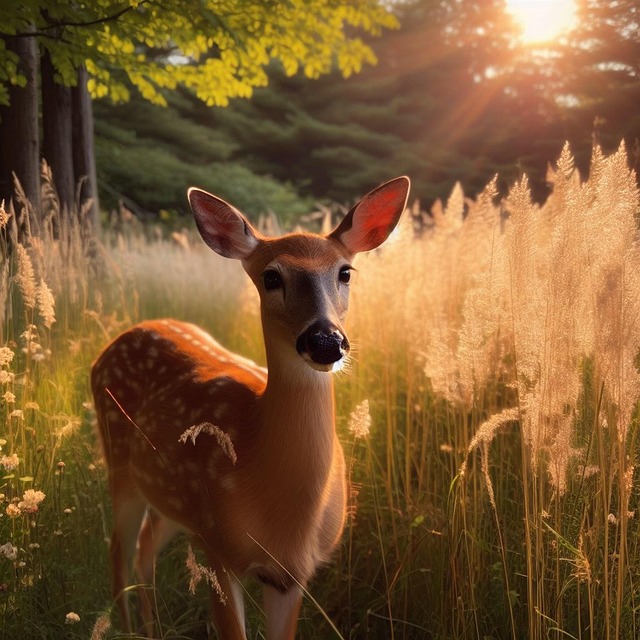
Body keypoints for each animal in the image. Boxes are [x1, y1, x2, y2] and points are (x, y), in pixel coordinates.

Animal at [91, 176, 410, 639]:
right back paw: (128, 628)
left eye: (345, 272)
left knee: (144, 546)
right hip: (120, 462)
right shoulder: (219, 549)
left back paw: (152, 628)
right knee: (118, 549)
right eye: (271, 276)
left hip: (172, 502)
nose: (325, 340)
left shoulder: (291, 575)